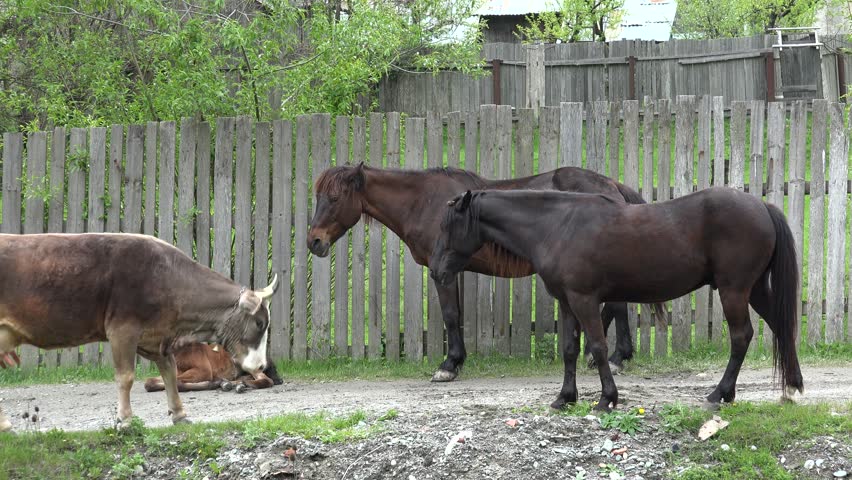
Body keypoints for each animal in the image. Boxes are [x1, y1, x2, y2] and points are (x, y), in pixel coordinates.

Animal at [143, 343, 284, 393]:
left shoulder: (203, 371)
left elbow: (178, 383)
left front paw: (212, 383)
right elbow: (149, 382)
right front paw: (218, 383)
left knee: (267, 380)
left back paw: (242, 384)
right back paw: (230, 384)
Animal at [307, 163, 665, 380]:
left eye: (334, 197)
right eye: (318, 195)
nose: (314, 241)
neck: (424, 202)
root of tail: (612, 185)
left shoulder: (442, 271)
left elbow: (451, 315)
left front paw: (450, 364)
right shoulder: (452, 269)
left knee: (616, 305)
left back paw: (615, 357)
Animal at [429, 187, 803, 411]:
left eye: (449, 227)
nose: (435, 271)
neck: (557, 227)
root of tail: (762, 206)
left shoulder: (584, 300)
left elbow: (597, 347)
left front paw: (607, 399)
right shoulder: (566, 303)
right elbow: (569, 349)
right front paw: (565, 398)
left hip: (733, 290)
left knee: (741, 337)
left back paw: (719, 393)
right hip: (754, 290)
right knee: (780, 327)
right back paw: (791, 385)